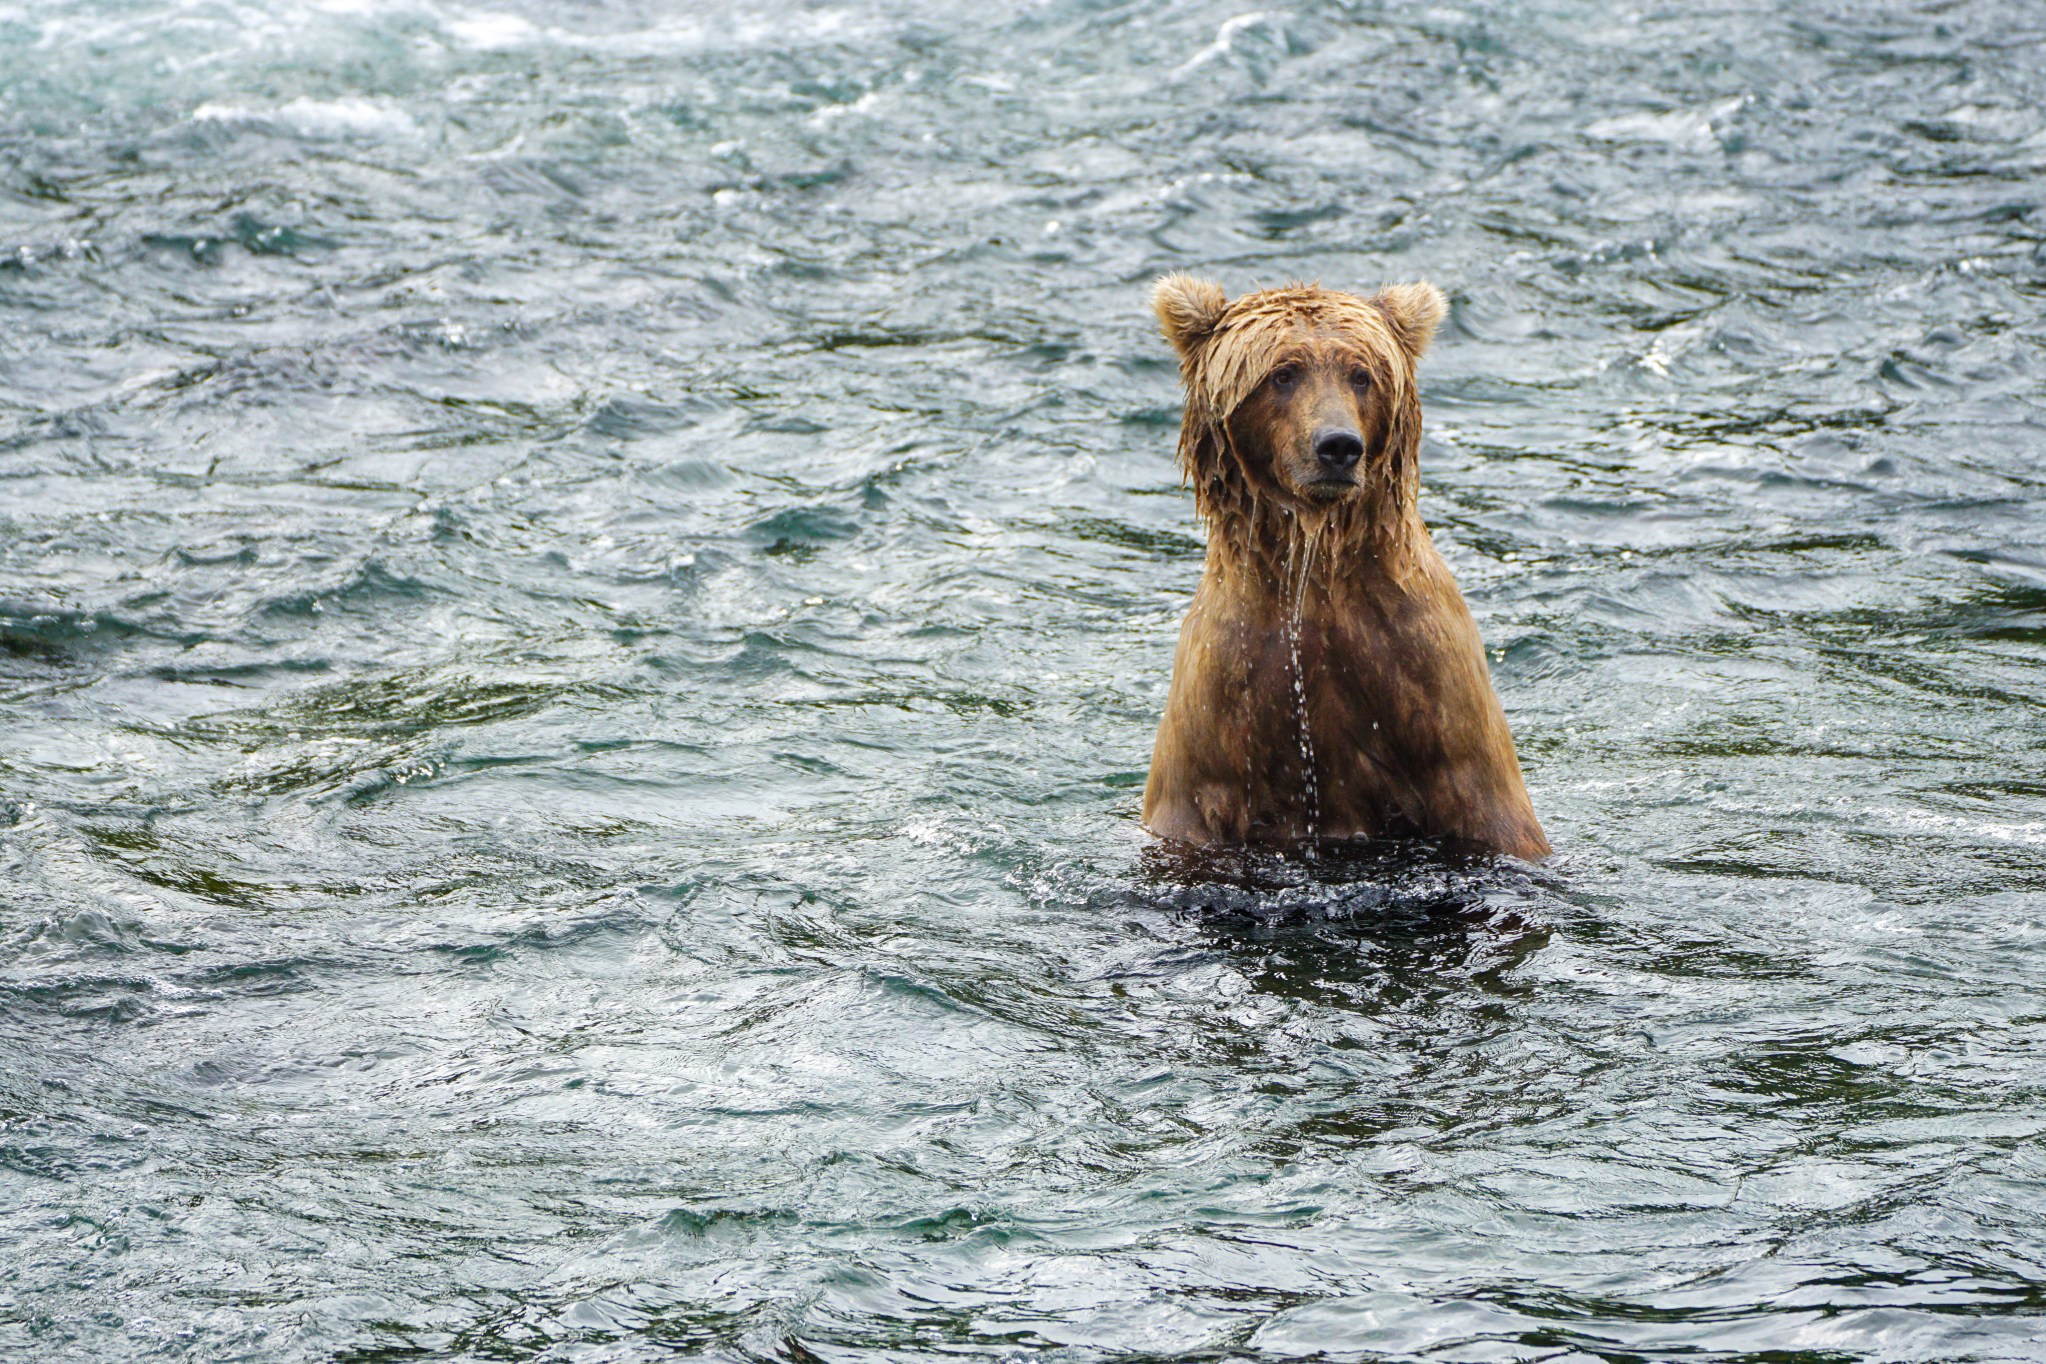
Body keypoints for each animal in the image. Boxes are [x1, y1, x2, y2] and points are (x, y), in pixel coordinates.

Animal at [1140, 274, 1549, 861]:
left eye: (1362, 375)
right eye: (1282, 374)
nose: (1337, 446)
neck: (1316, 568)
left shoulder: (1430, 678)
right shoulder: (1224, 698)